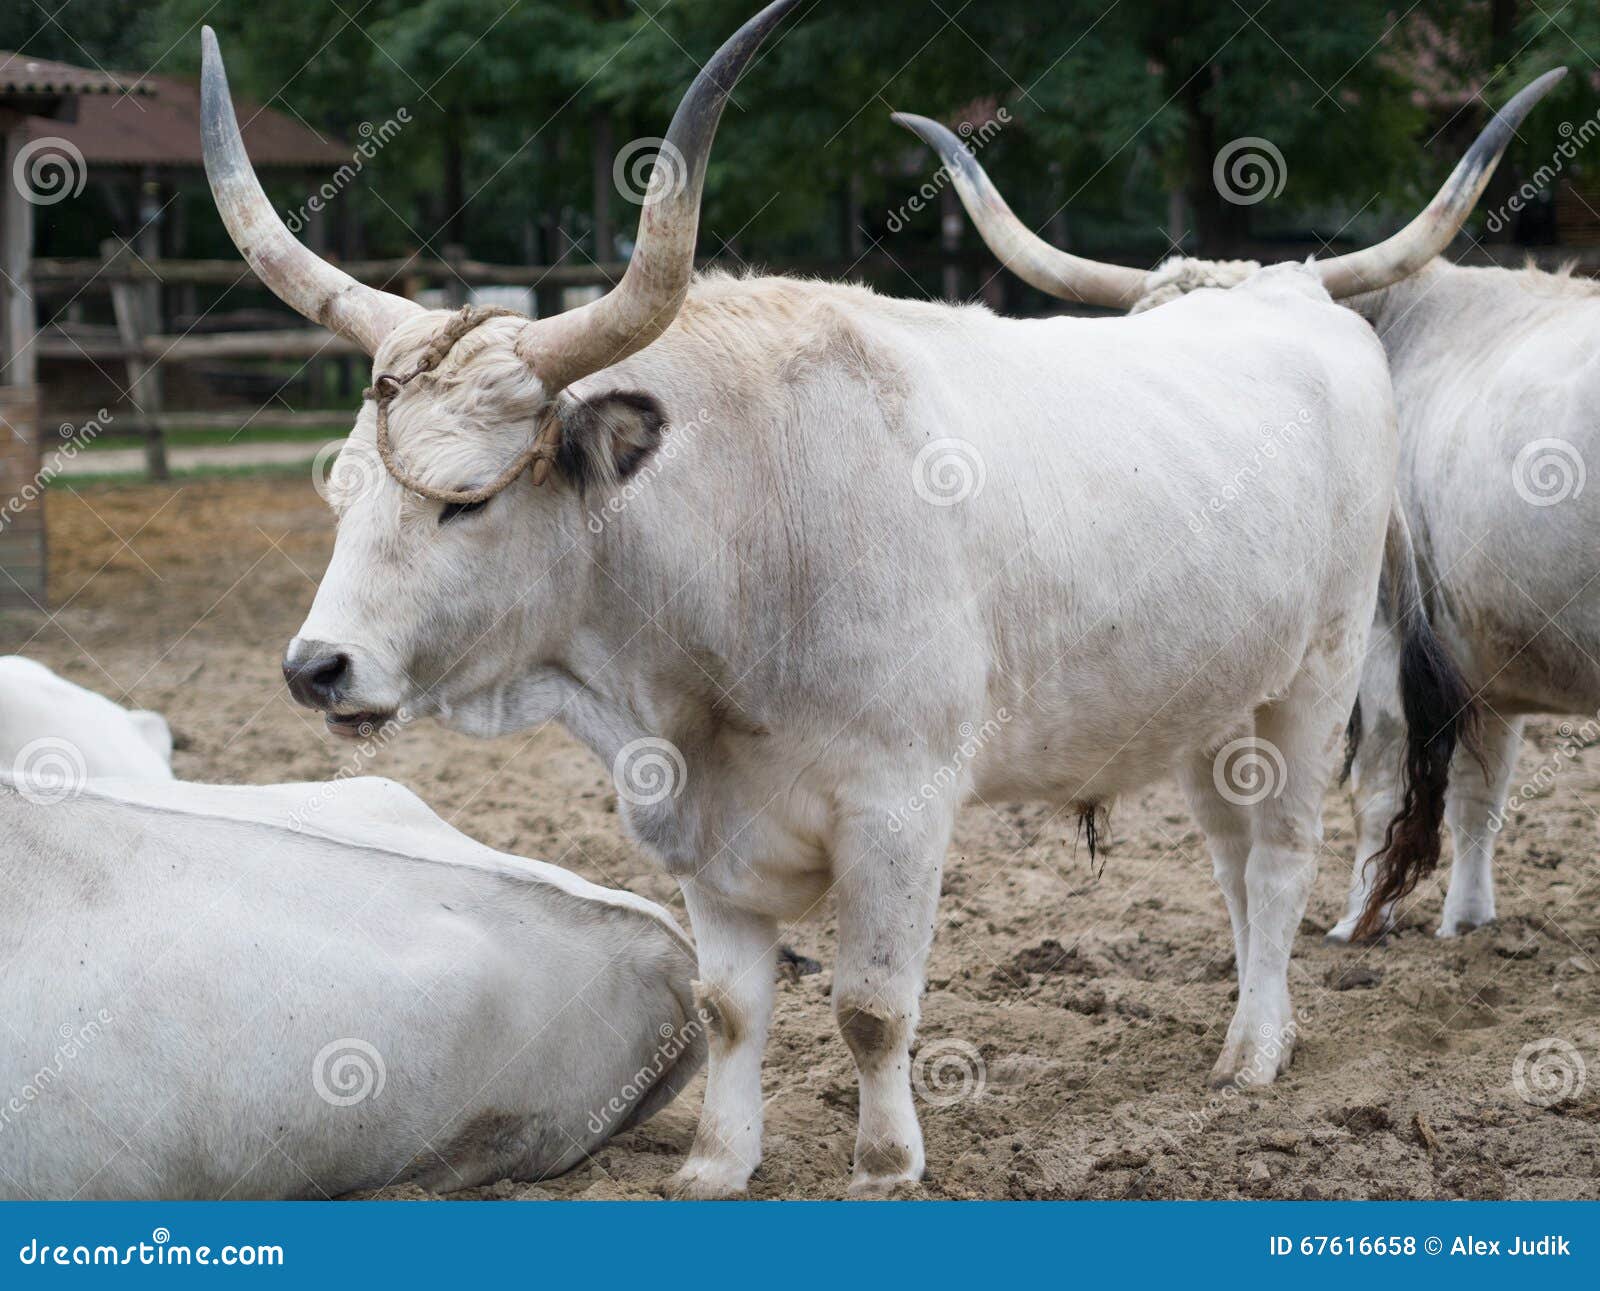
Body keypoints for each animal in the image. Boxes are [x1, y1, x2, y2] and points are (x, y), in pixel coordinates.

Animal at [201, 1, 1499, 1195]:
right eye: (345, 483)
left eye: (464, 501)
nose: (316, 667)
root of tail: (1279, 295)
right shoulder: (700, 827)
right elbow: (728, 1004)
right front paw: (717, 1164)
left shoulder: (897, 807)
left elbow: (872, 1006)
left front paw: (882, 1162)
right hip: (1204, 705)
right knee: (1232, 866)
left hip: (1314, 676)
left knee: (1279, 860)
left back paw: (1257, 1050)